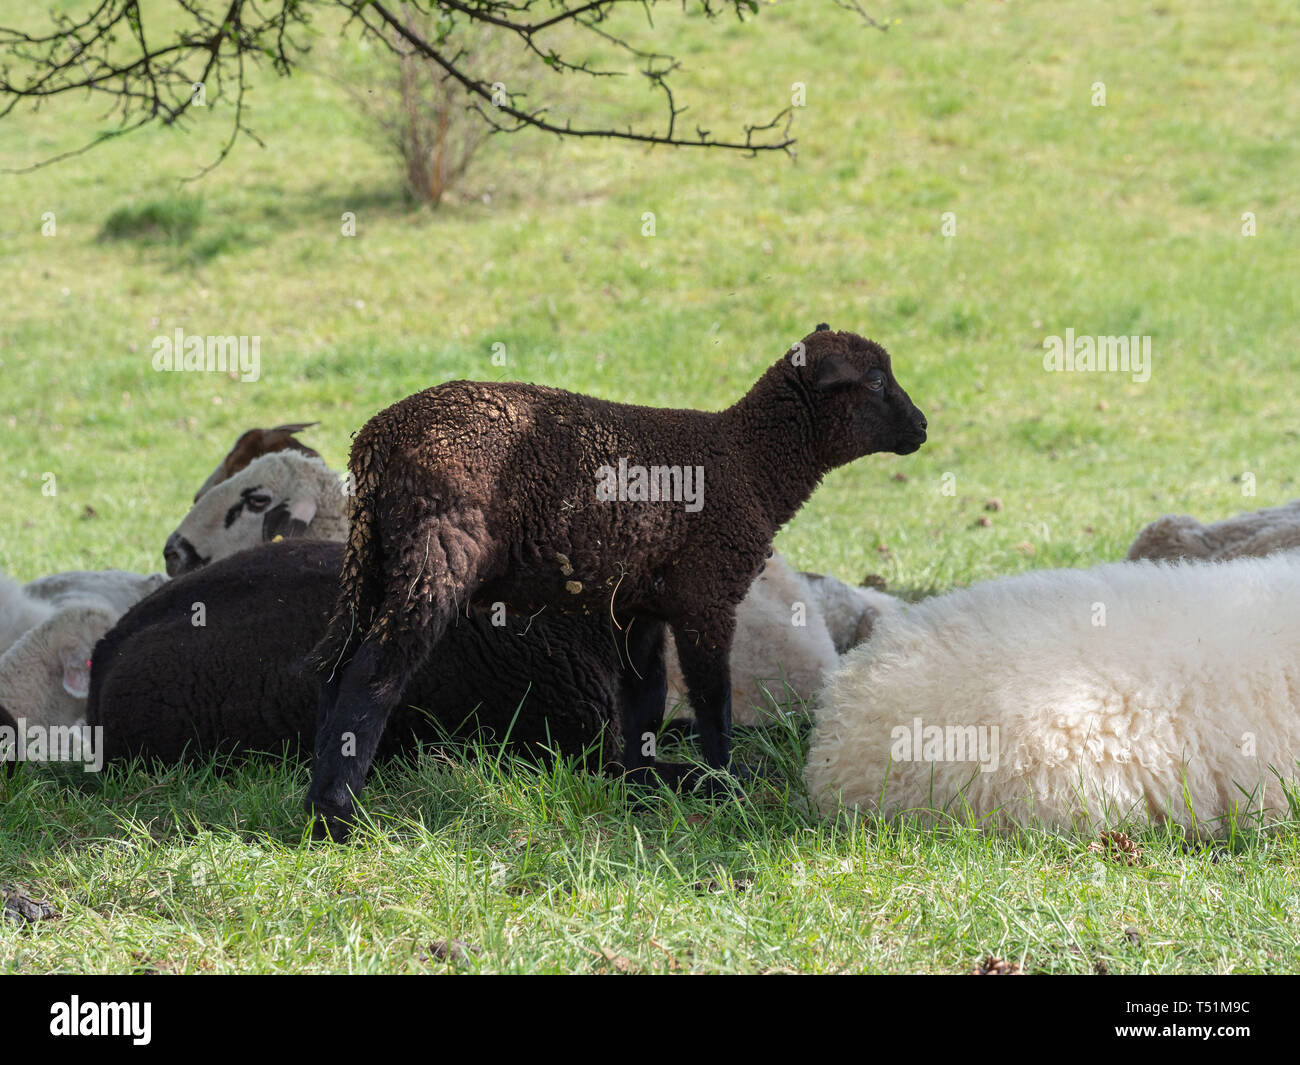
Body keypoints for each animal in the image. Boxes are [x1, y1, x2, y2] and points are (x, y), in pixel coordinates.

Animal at [306, 325, 927, 837]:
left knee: (336, 669)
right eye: (875, 380)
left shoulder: (639, 607)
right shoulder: (706, 596)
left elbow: (644, 701)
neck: (751, 465)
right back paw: (337, 817)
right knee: (372, 675)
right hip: (436, 552)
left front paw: (641, 788)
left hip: (374, 559)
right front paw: (725, 783)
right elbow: (713, 701)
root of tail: (377, 443)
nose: (923, 427)